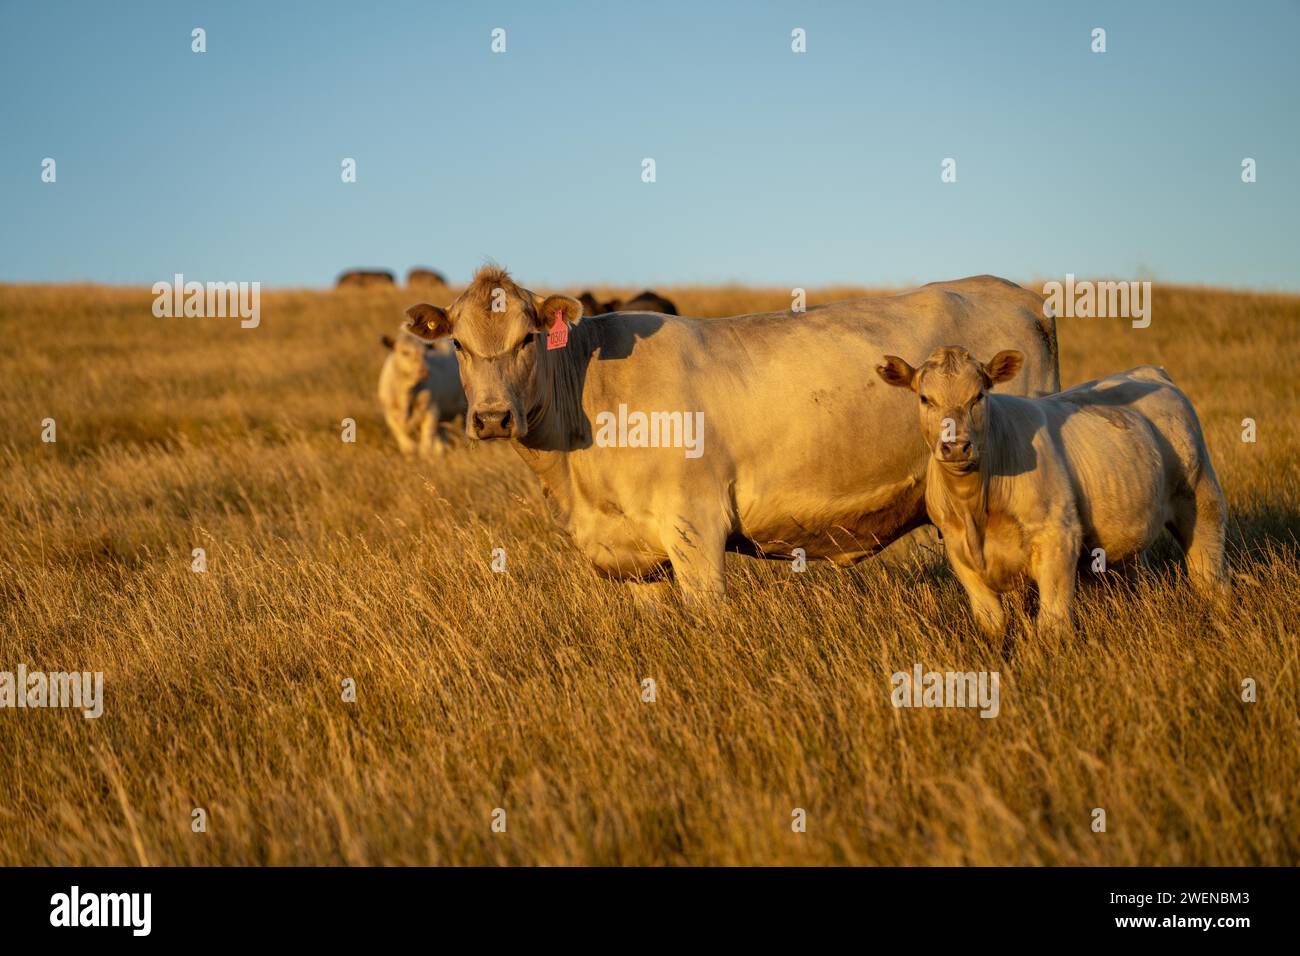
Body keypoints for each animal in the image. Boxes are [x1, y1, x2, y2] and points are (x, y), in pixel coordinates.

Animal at [378, 328, 467, 456]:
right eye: (405, 352)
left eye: (425, 354)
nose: (424, 372)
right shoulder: (390, 414)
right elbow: (402, 438)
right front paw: (410, 449)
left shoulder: (431, 410)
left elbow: (425, 445)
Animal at [403, 265, 1060, 605]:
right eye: (457, 343)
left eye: (527, 339)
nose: (492, 417)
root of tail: (1016, 292)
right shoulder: (637, 559)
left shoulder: (695, 528)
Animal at [875, 347, 1228, 636]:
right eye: (925, 398)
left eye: (979, 395)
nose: (956, 446)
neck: (976, 507)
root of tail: (1148, 371)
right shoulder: (958, 551)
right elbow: (992, 623)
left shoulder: (1059, 536)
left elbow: (1052, 624)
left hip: (1201, 501)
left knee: (1207, 574)